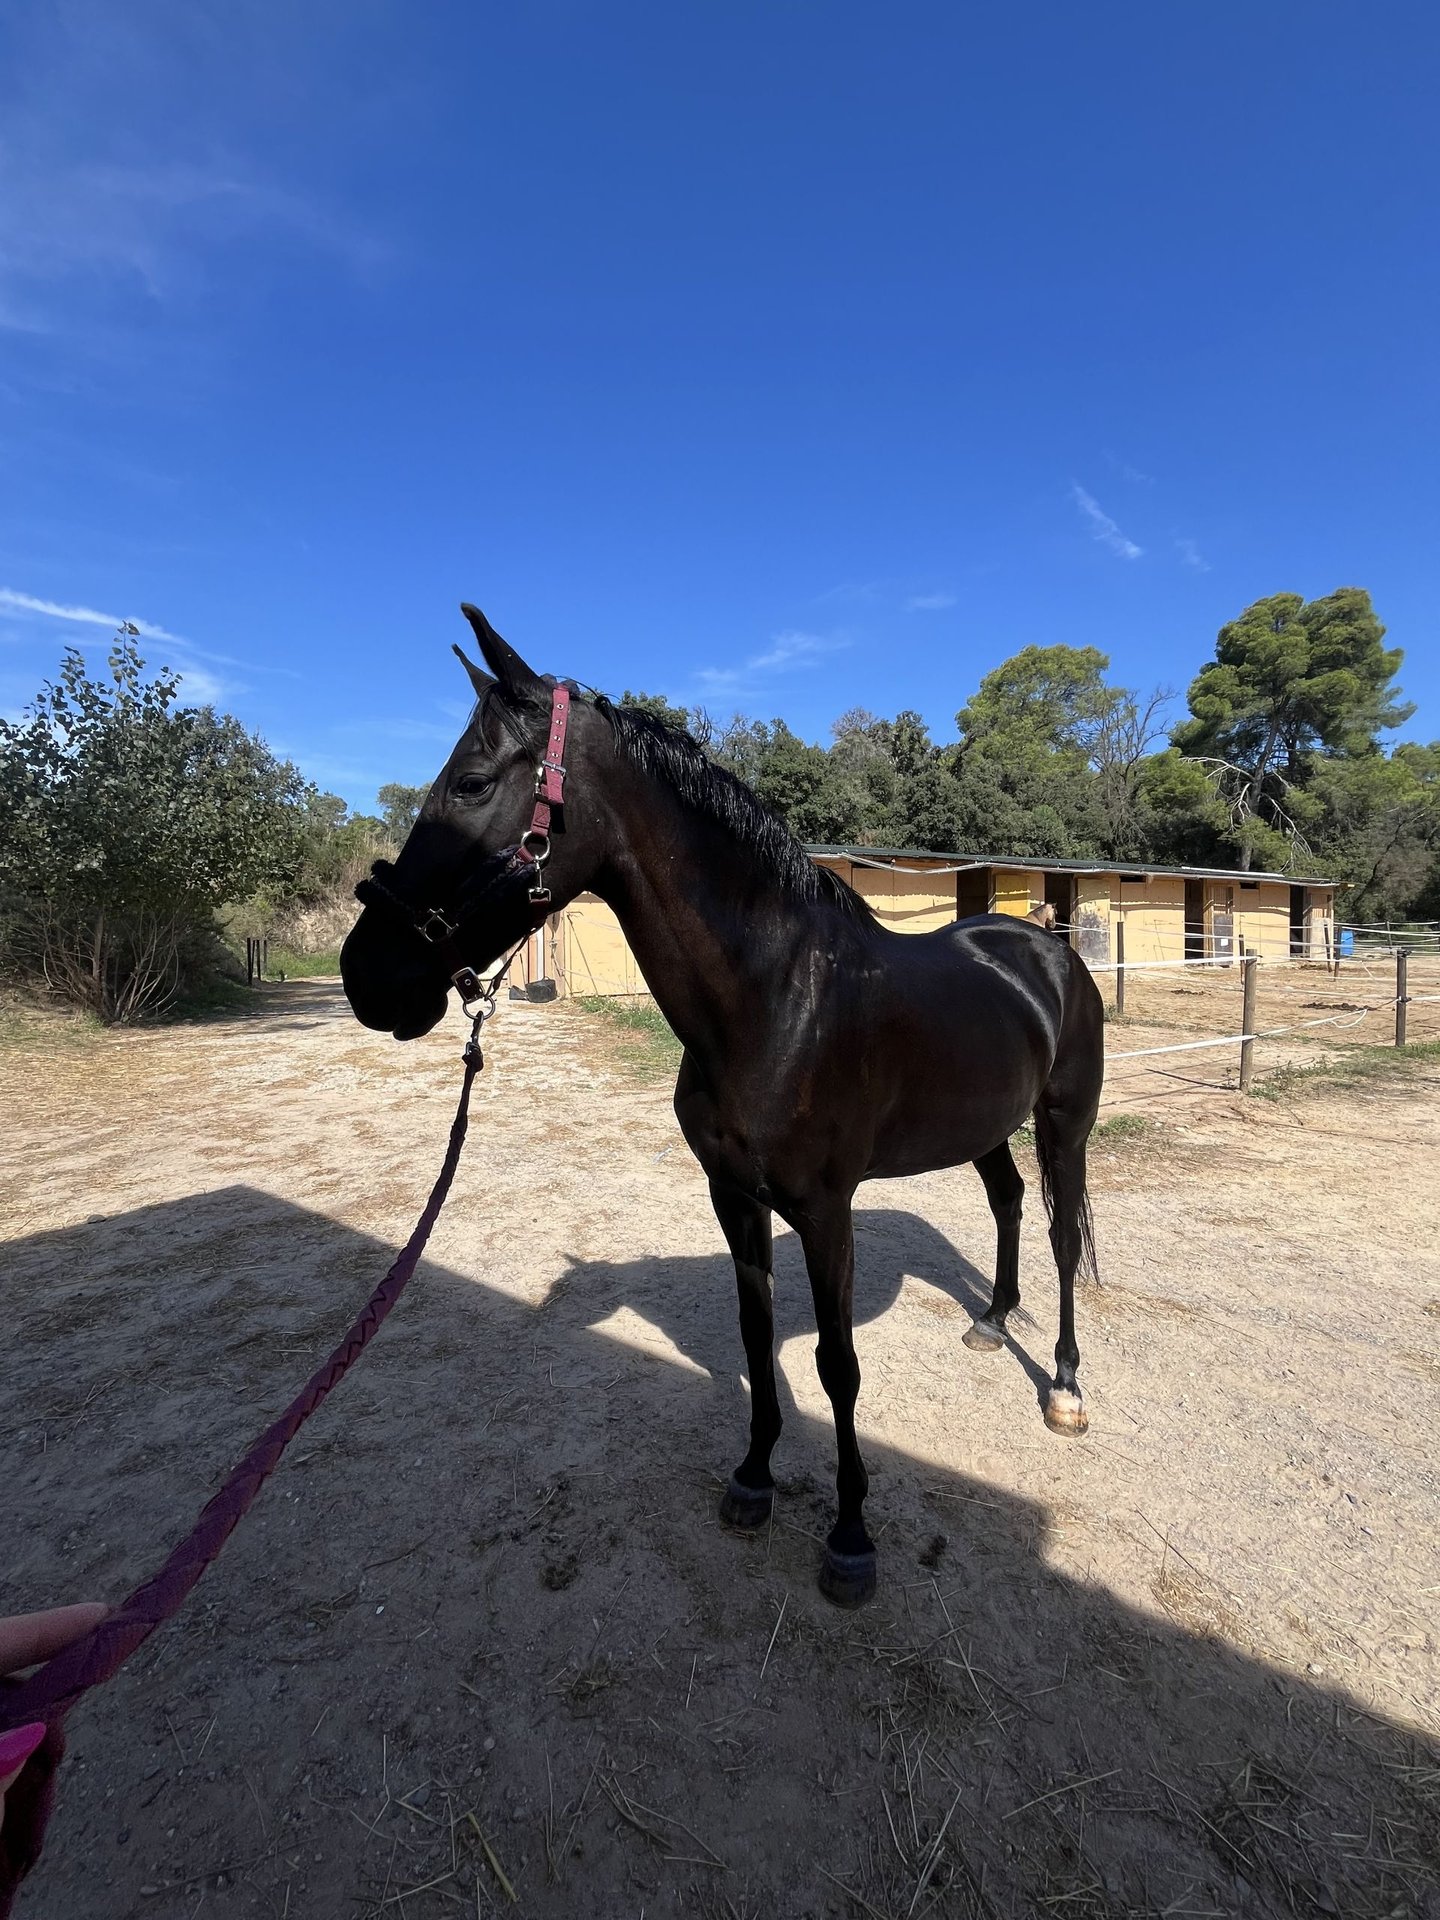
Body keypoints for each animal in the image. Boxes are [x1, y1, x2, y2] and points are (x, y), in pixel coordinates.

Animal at [340, 607, 1106, 1606]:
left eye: (471, 783)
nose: (364, 974)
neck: (774, 1000)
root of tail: (1047, 947)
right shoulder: (734, 1197)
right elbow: (754, 1337)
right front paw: (752, 1478)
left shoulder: (825, 1212)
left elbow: (835, 1365)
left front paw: (850, 1537)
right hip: (982, 1127)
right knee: (1008, 1202)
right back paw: (989, 1320)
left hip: (1063, 1124)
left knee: (1058, 1232)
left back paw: (1065, 1387)